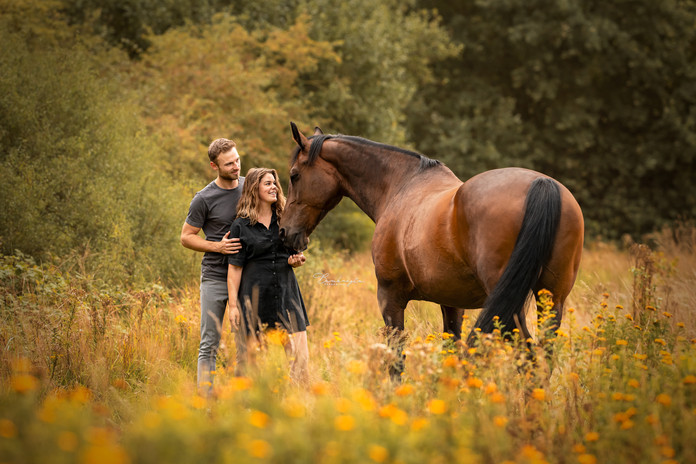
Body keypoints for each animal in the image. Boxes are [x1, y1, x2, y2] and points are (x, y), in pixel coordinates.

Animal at [279, 123, 584, 374]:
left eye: (294, 176)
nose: (285, 232)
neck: (400, 186)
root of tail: (542, 184)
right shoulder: (451, 302)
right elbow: (451, 349)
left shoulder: (390, 297)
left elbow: (397, 360)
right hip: (552, 299)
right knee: (544, 353)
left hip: (510, 305)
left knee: (528, 355)